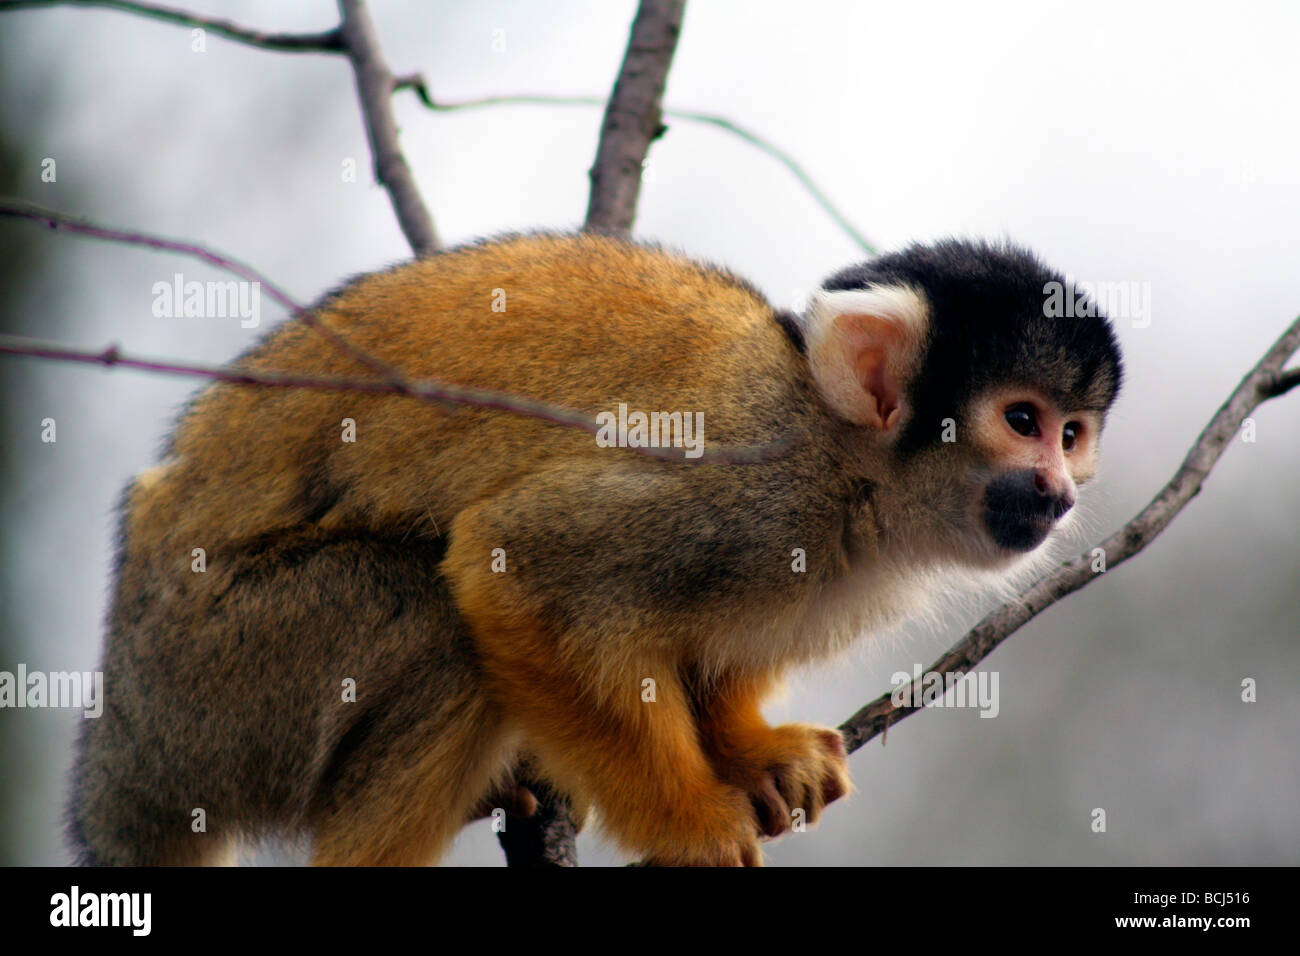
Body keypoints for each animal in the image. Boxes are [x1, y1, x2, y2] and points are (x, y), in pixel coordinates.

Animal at [66, 233, 1122, 867]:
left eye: (1073, 435)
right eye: (1021, 421)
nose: (1061, 491)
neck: (848, 468)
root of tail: (121, 738)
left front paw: (753, 751)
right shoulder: (748, 493)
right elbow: (520, 565)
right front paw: (690, 823)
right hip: (220, 681)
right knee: (436, 617)